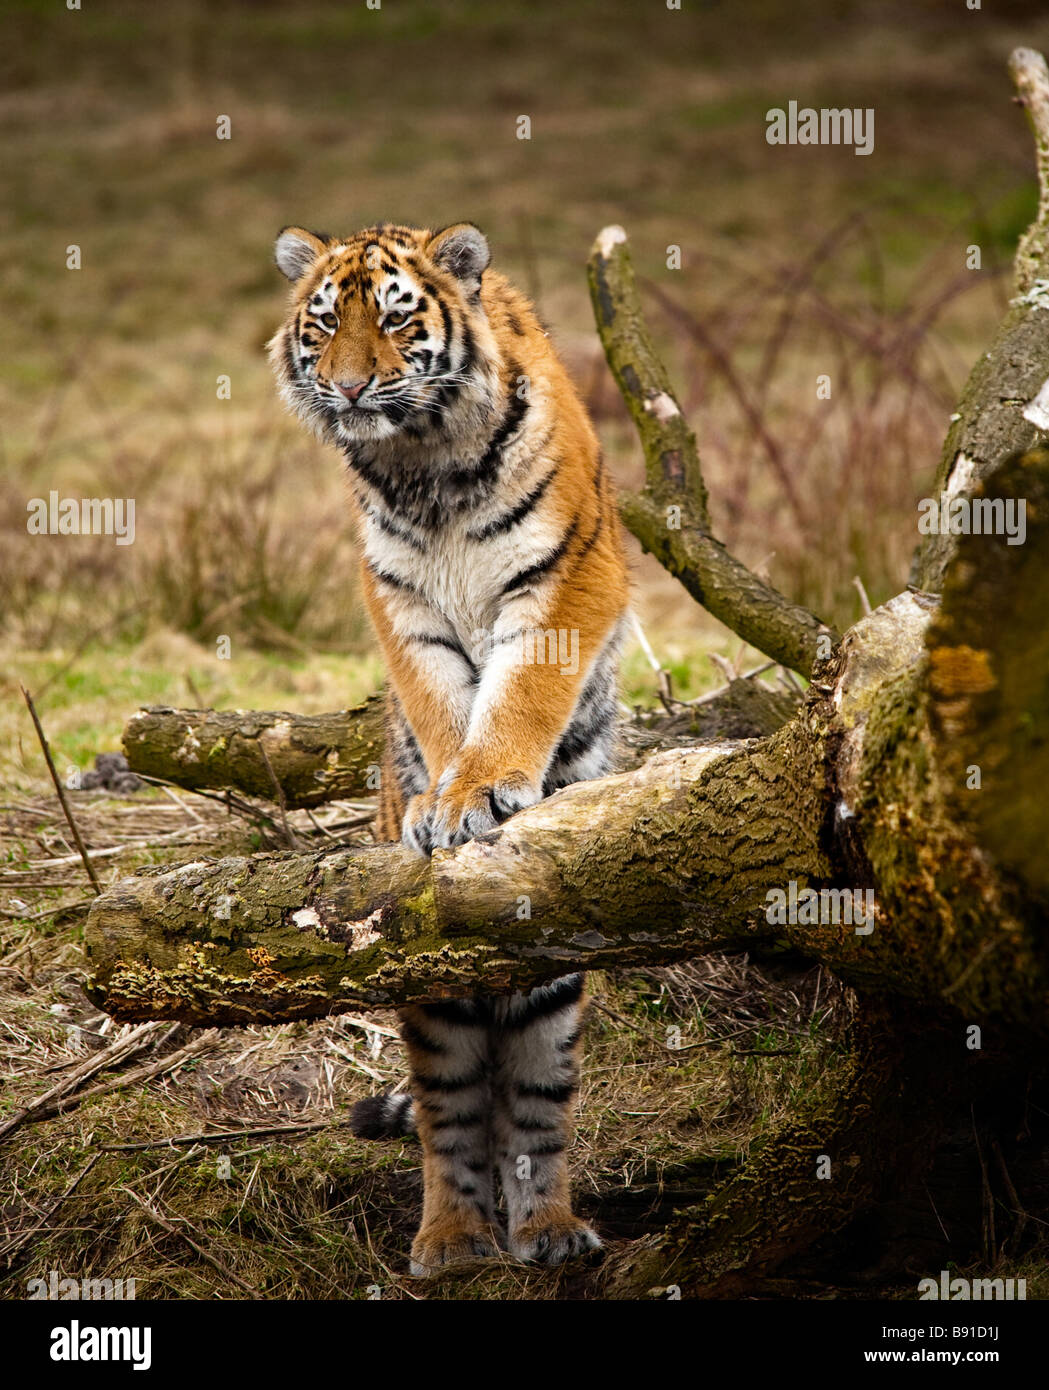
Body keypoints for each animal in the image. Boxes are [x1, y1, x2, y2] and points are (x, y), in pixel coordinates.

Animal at [269, 220, 629, 1276]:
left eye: (395, 319)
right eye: (322, 325)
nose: (350, 389)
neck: (420, 463)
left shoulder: (568, 571)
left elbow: (519, 697)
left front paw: (485, 788)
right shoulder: (398, 593)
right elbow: (440, 704)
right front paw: (442, 798)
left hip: (552, 987)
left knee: (537, 1113)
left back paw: (548, 1231)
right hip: (427, 990)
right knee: (451, 1116)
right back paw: (454, 1241)